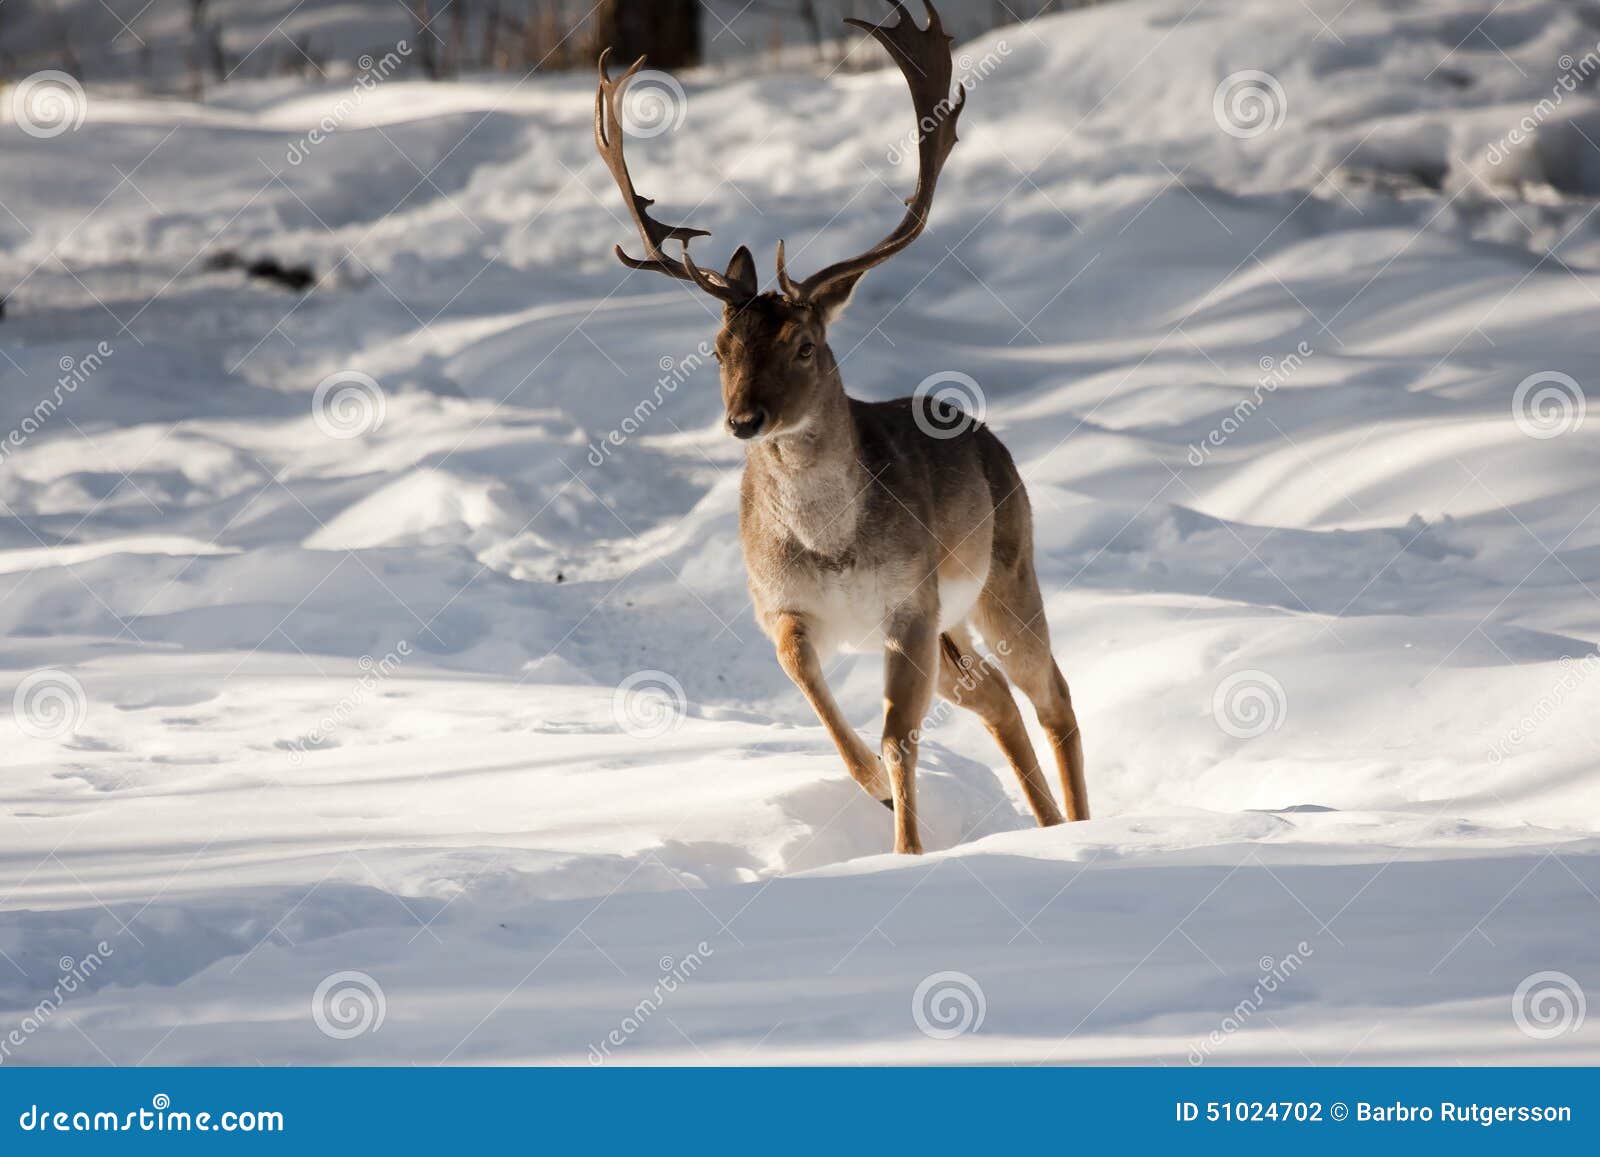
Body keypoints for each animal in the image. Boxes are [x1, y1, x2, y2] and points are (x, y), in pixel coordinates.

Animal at [594, 0, 1087, 854]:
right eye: (719, 347)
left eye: (804, 343)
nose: (744, 419)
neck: (832, 546)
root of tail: (989, 436)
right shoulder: (778, 603)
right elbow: (814, 685)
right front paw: (875, 794)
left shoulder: (910, 602)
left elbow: (901, 735)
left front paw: (906, 848)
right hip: (955, 628)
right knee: (994, 693)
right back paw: (1047, 826)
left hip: (1005, 572)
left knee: (1050, 689)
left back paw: (1085, 826)